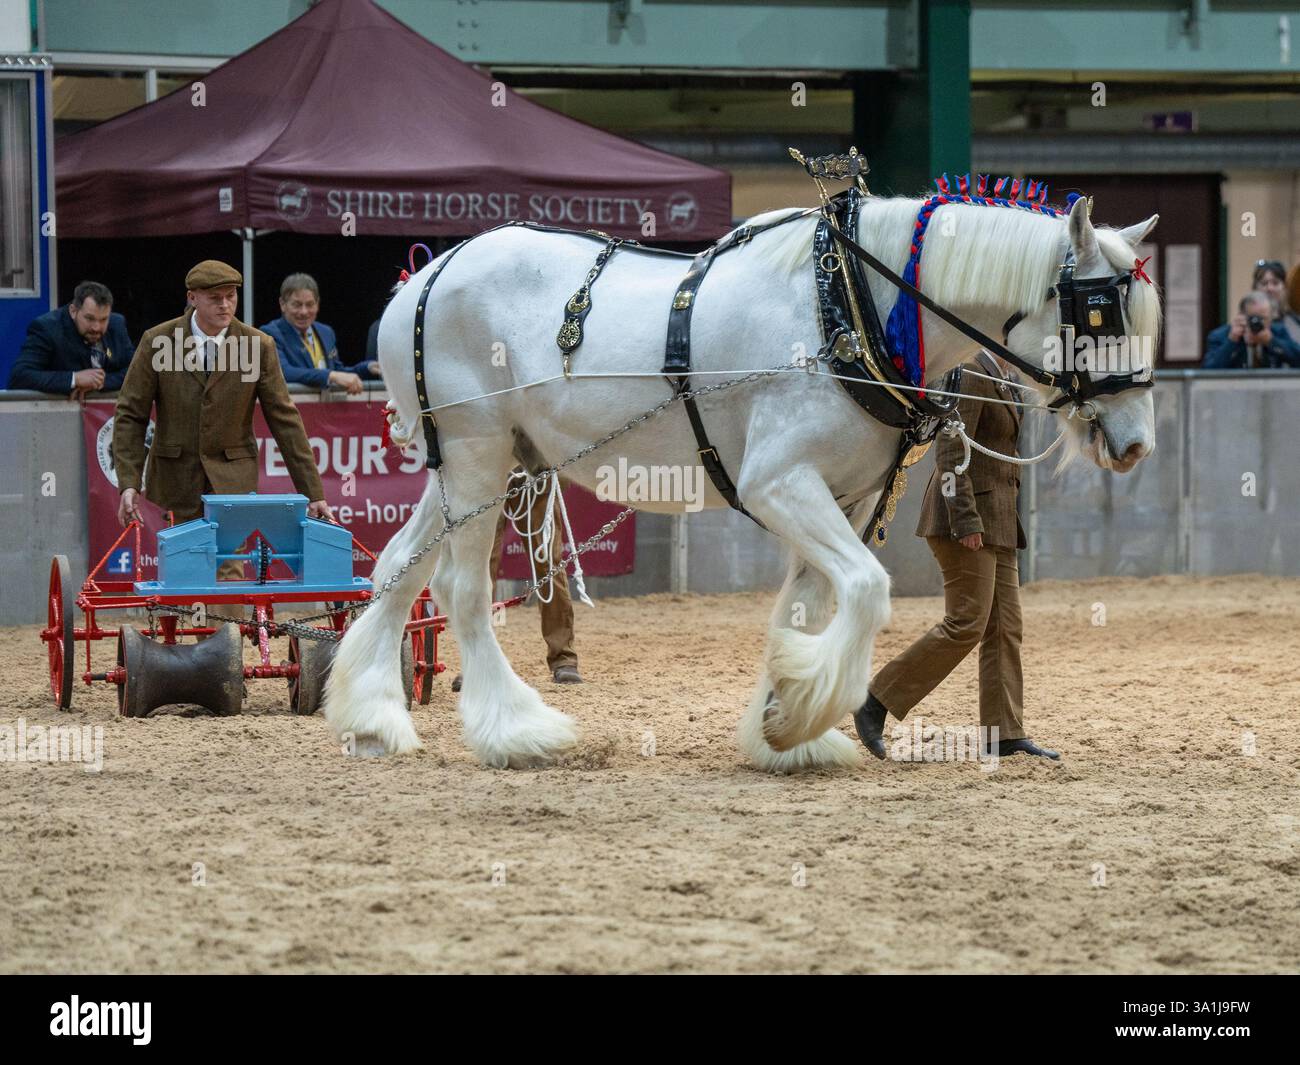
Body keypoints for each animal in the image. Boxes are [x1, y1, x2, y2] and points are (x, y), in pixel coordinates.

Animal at [320, 190, 1161, 772]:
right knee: (462, 591)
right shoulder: (779, 483)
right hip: (478, 451)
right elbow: (866, 590)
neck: (849, 306)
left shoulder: (845, 495)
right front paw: (801, 715)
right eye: (1098, 313)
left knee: (399, 568)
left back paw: (373, 717)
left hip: (467, 469)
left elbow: (806, 607)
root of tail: (424, 276)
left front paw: (783, 725)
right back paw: (515, 731)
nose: (1137, 444)